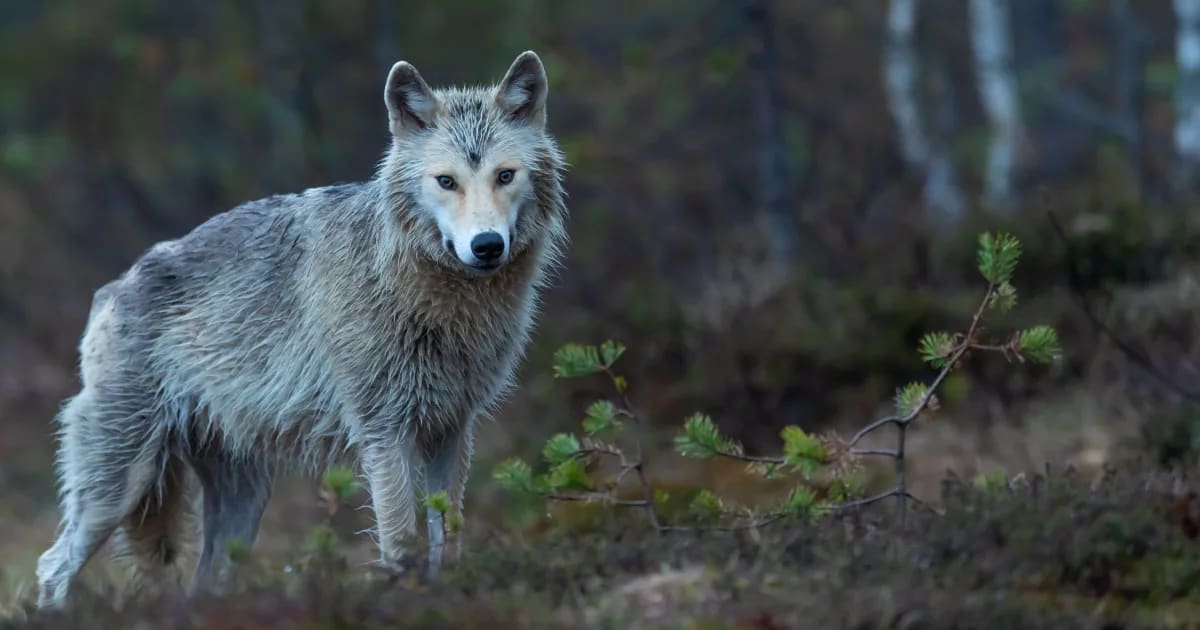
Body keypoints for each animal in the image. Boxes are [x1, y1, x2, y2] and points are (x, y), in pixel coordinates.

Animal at [34, 50, 567, 610]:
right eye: (447, 181)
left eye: (505, 175)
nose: (487, 245)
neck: (432, 299)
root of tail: (112, 288)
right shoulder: (384, 432)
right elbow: (401, 542)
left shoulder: (452, 430)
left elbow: (450, 535)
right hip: (119, 486)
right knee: (52, 566)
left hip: (242, 504)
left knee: (202, 580)